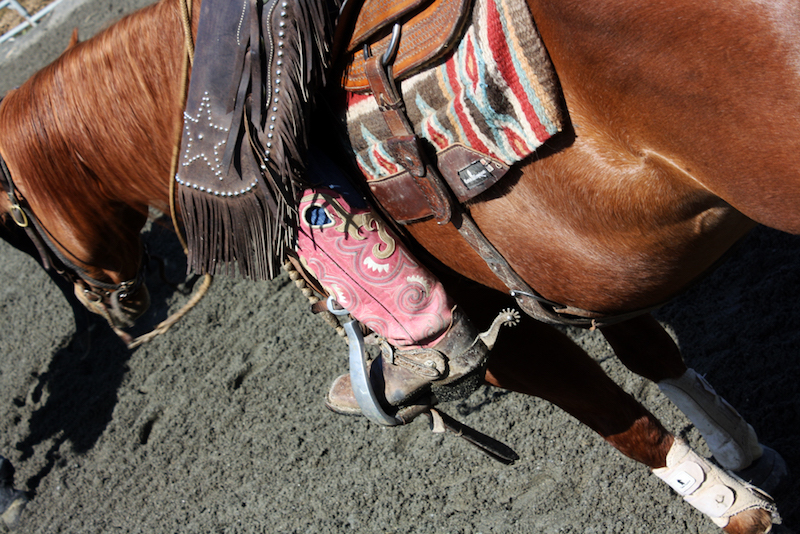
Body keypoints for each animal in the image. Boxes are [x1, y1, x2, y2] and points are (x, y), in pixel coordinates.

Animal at [0, 0, 795, 532]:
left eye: (12, 224)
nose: (112, 306)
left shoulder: (501, 341)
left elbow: (622, 423)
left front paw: (730, 506)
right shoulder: (568, 279)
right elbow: (652, 355)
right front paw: (741, 451)